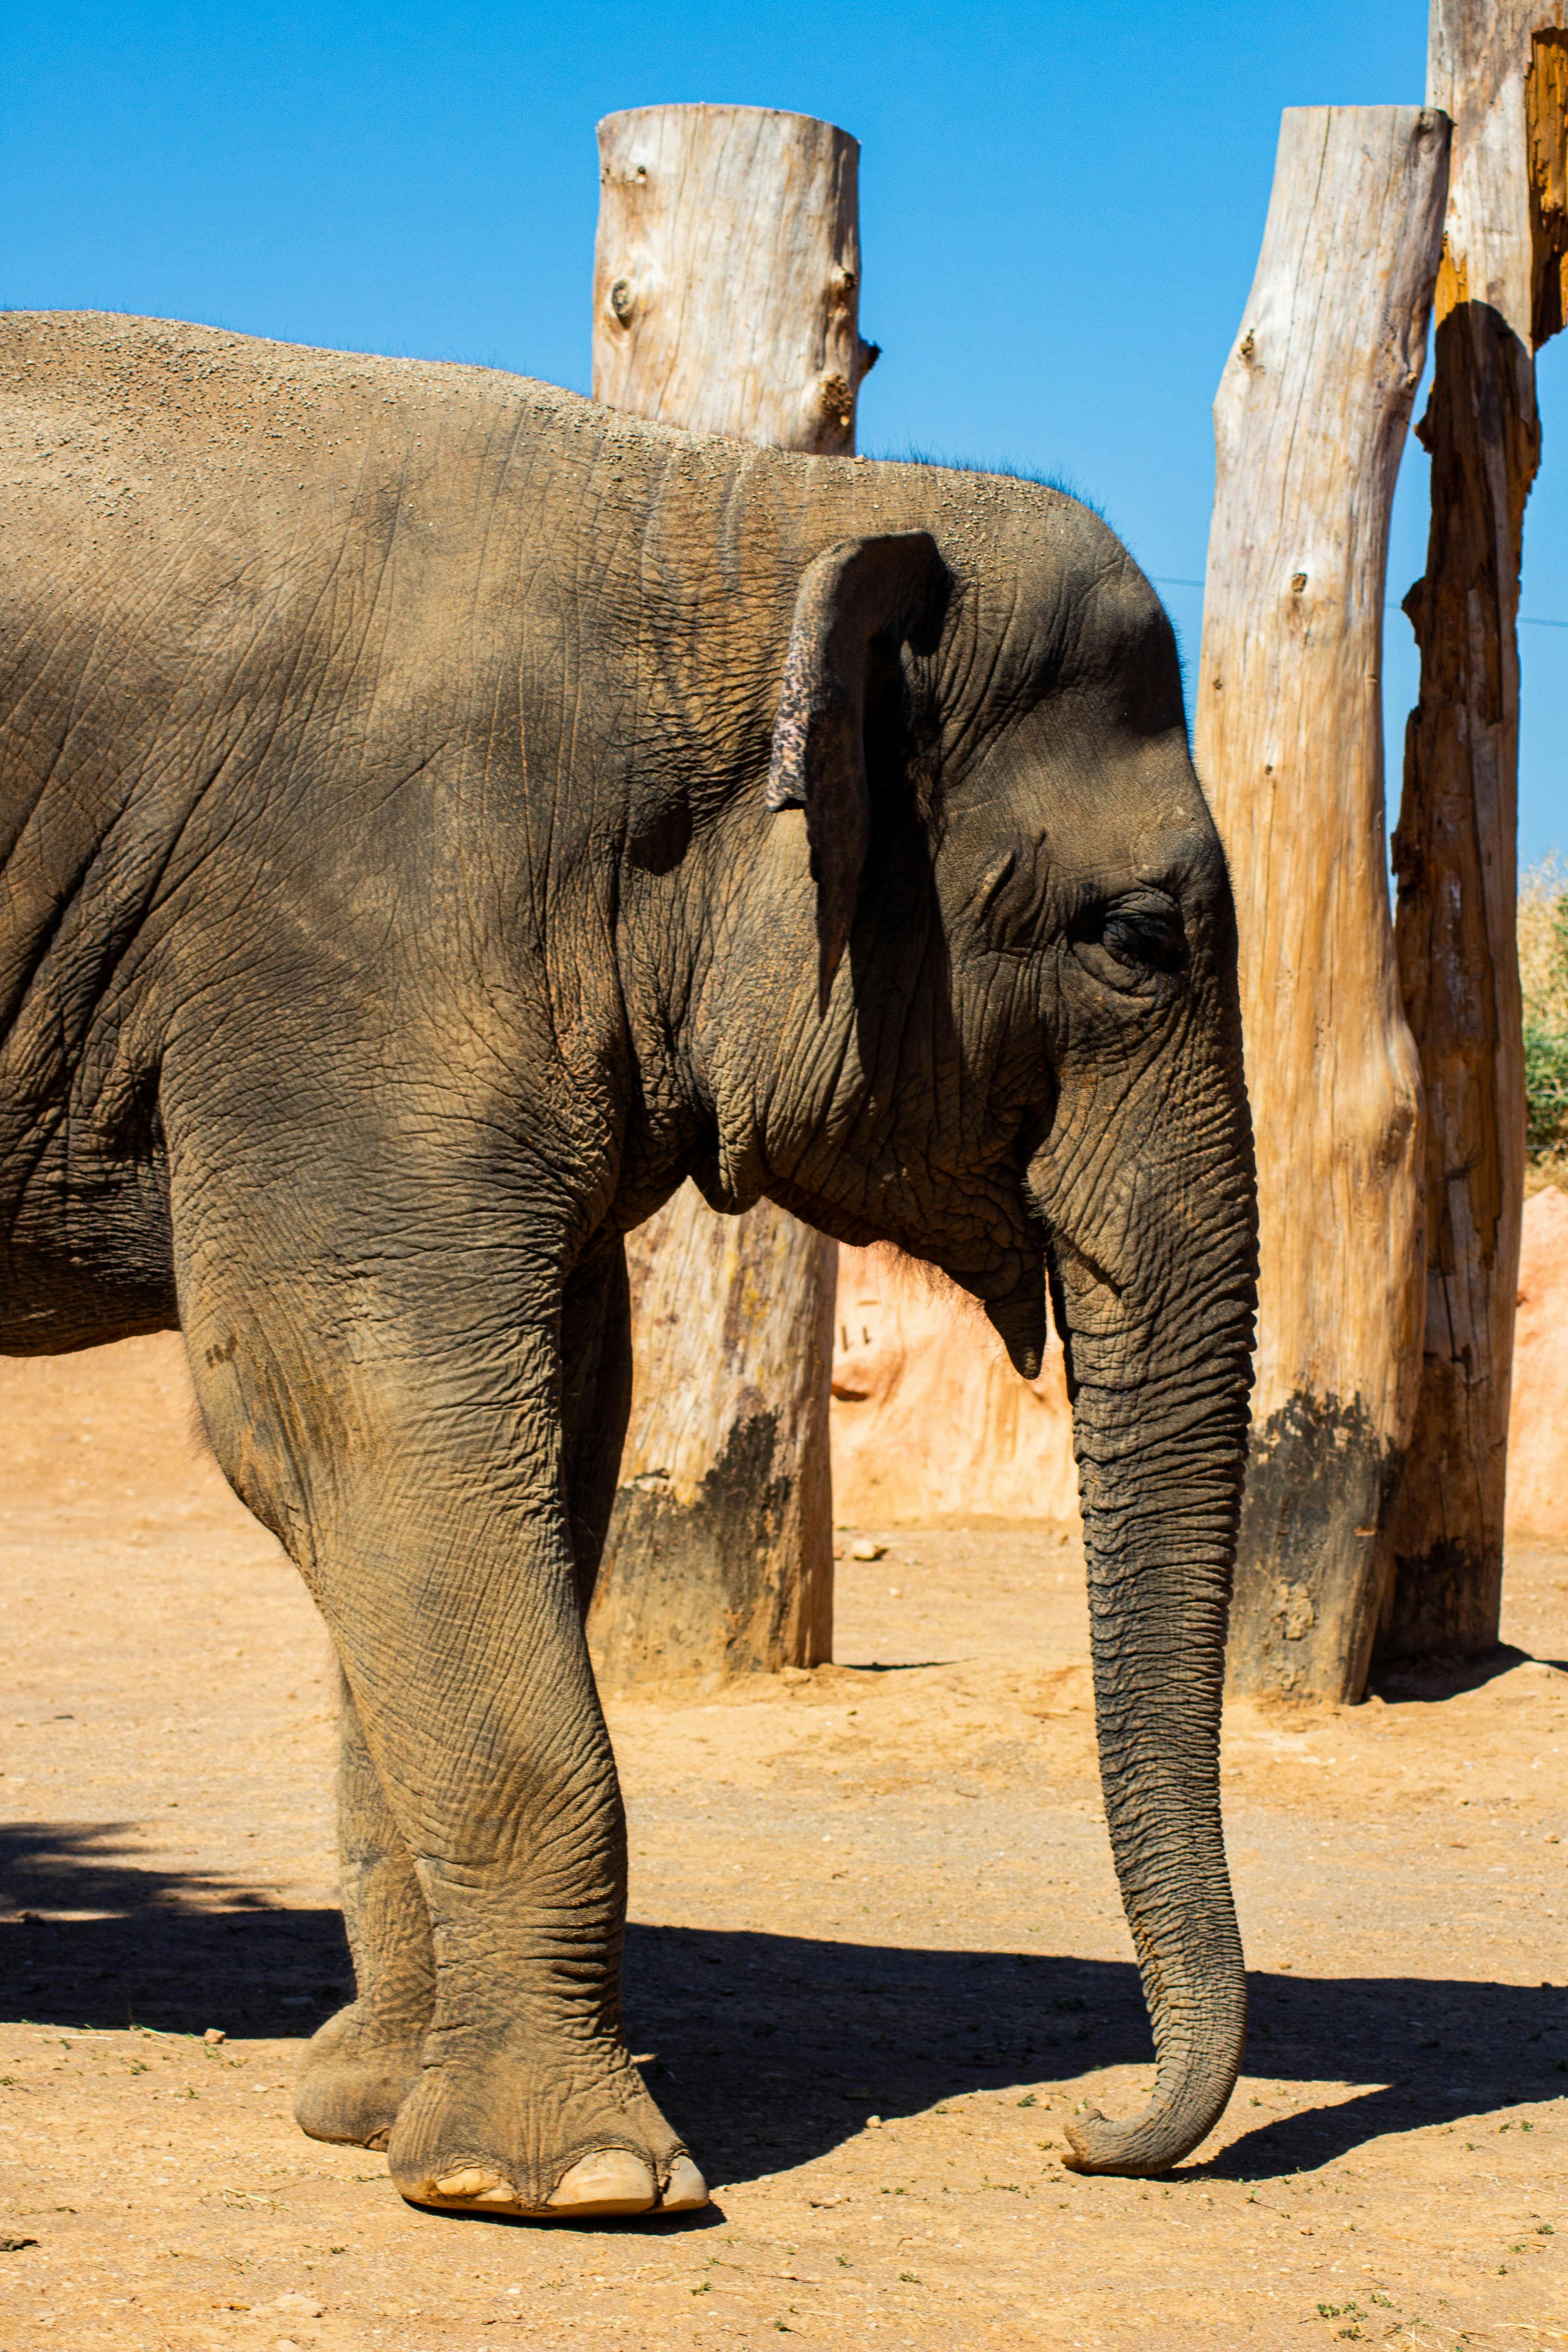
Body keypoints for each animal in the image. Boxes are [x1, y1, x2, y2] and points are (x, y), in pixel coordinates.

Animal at [0, 310, 1256, 2217]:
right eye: (1133, 939)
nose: (1088, 2128)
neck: (725, 524)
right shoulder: (354, 934)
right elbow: (353, 1413)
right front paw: (578, 2183)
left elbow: (534, 1427)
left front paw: (372, 2113)